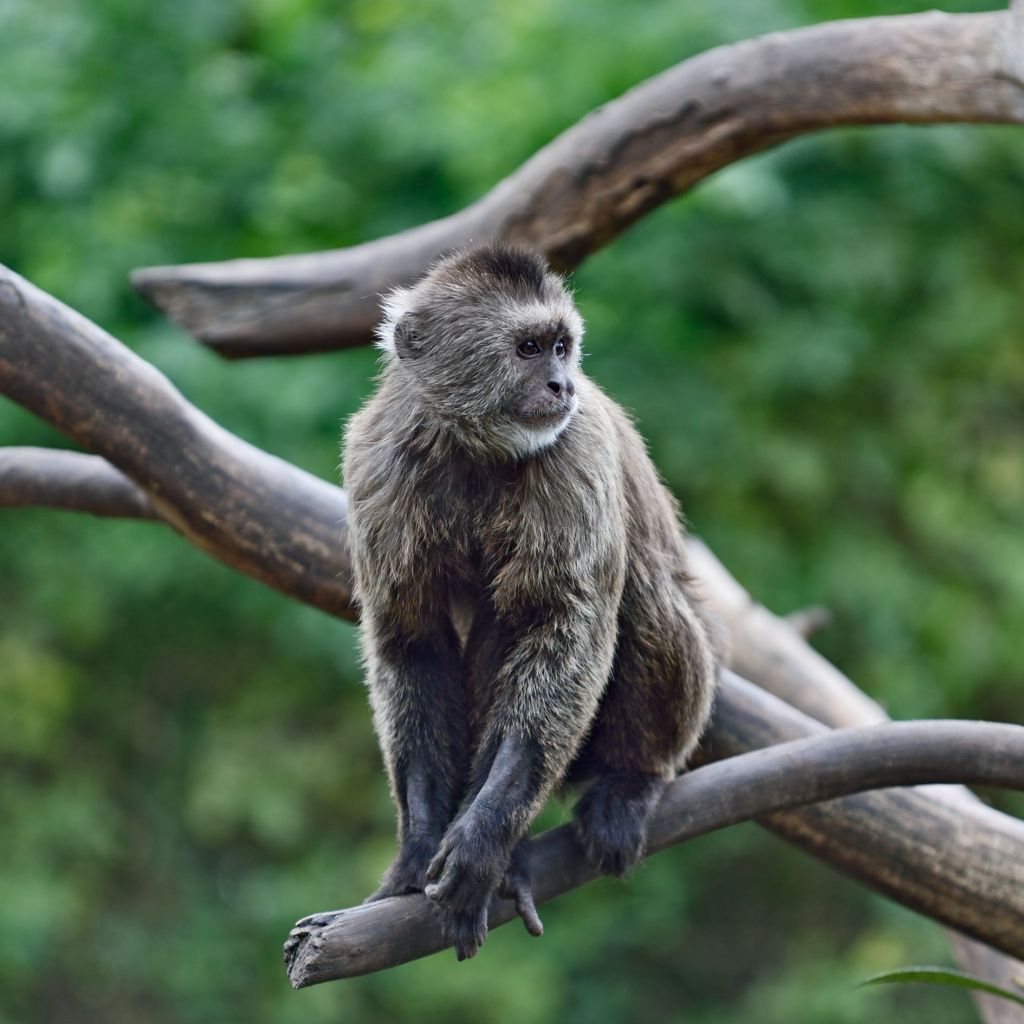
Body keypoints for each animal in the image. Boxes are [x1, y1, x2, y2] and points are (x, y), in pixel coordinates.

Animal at [340, 241, 717, 961]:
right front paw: (420, 843)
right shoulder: (377, 462)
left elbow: (562, 629)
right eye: (528, 348)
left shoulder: (576, 452)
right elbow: (412, 641)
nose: (561, 385)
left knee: (637, 598)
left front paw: (484, 841)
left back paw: (629, 782)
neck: (476, 449)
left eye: (562, 348)